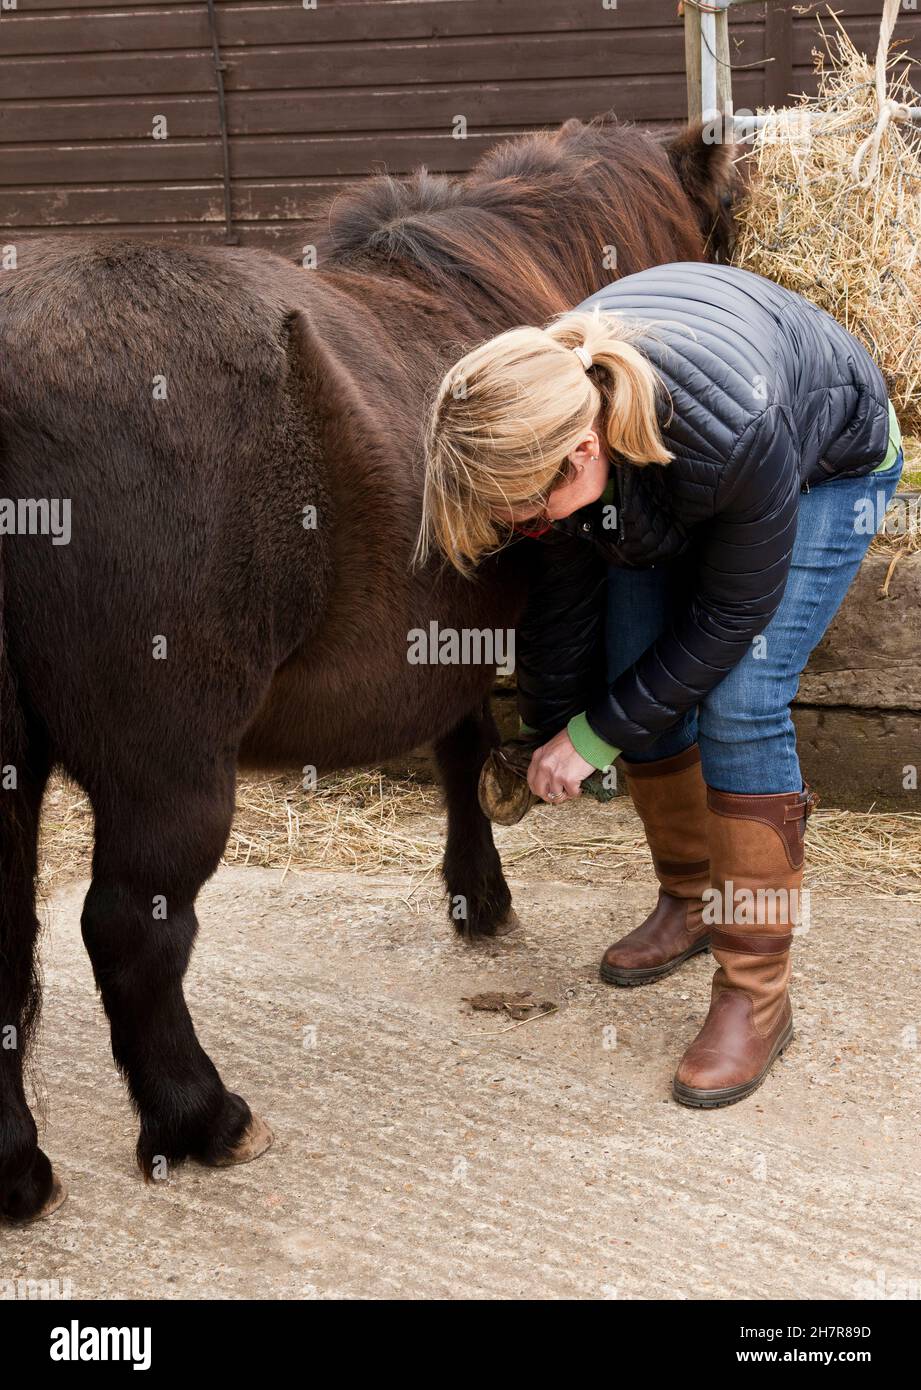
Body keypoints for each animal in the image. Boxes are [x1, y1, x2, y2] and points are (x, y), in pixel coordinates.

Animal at [0, 115, 744, 1220]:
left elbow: (460, 749)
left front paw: (476, 894)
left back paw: (17, 1167)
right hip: (168, 767)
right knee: (131, 929)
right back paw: (202, 1119)